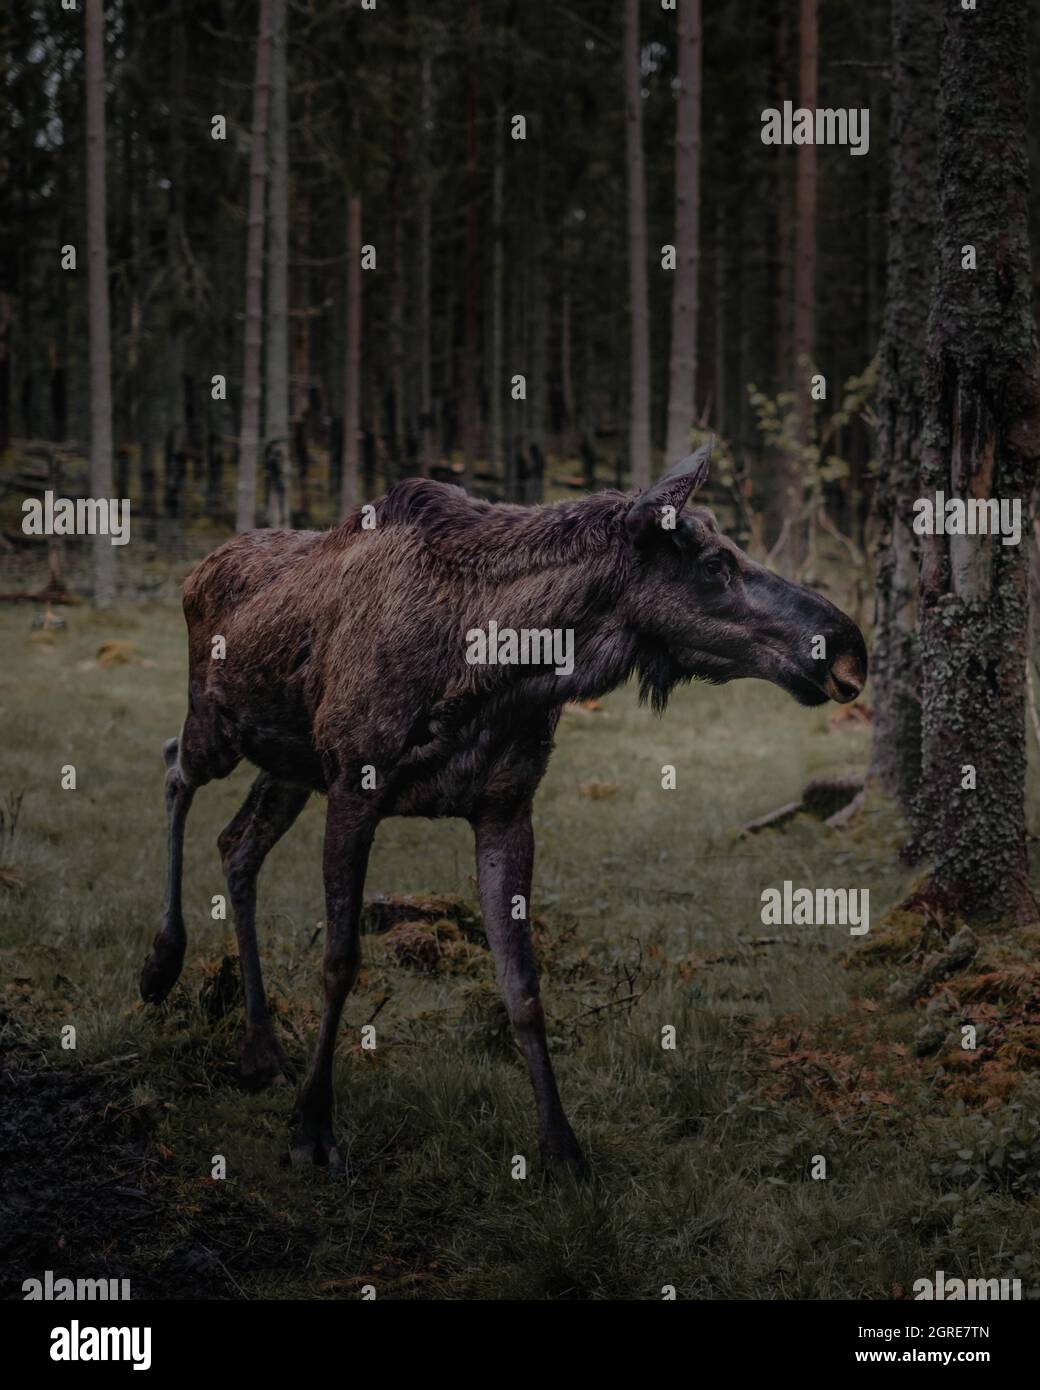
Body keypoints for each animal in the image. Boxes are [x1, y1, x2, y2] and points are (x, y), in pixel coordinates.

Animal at [141, 443, 867, 1177]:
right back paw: (162, 963)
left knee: (236, 846)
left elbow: (522, 984)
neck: (494, 669)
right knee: (174, 767)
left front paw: (561, 1146)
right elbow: (339, 963)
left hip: (290, 768)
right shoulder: (354, 787)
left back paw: (260, 1046)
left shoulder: (505, 808)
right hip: (222, 729)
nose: (847, 645)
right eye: (716, 564)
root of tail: (195, 571)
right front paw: (314, 1126)